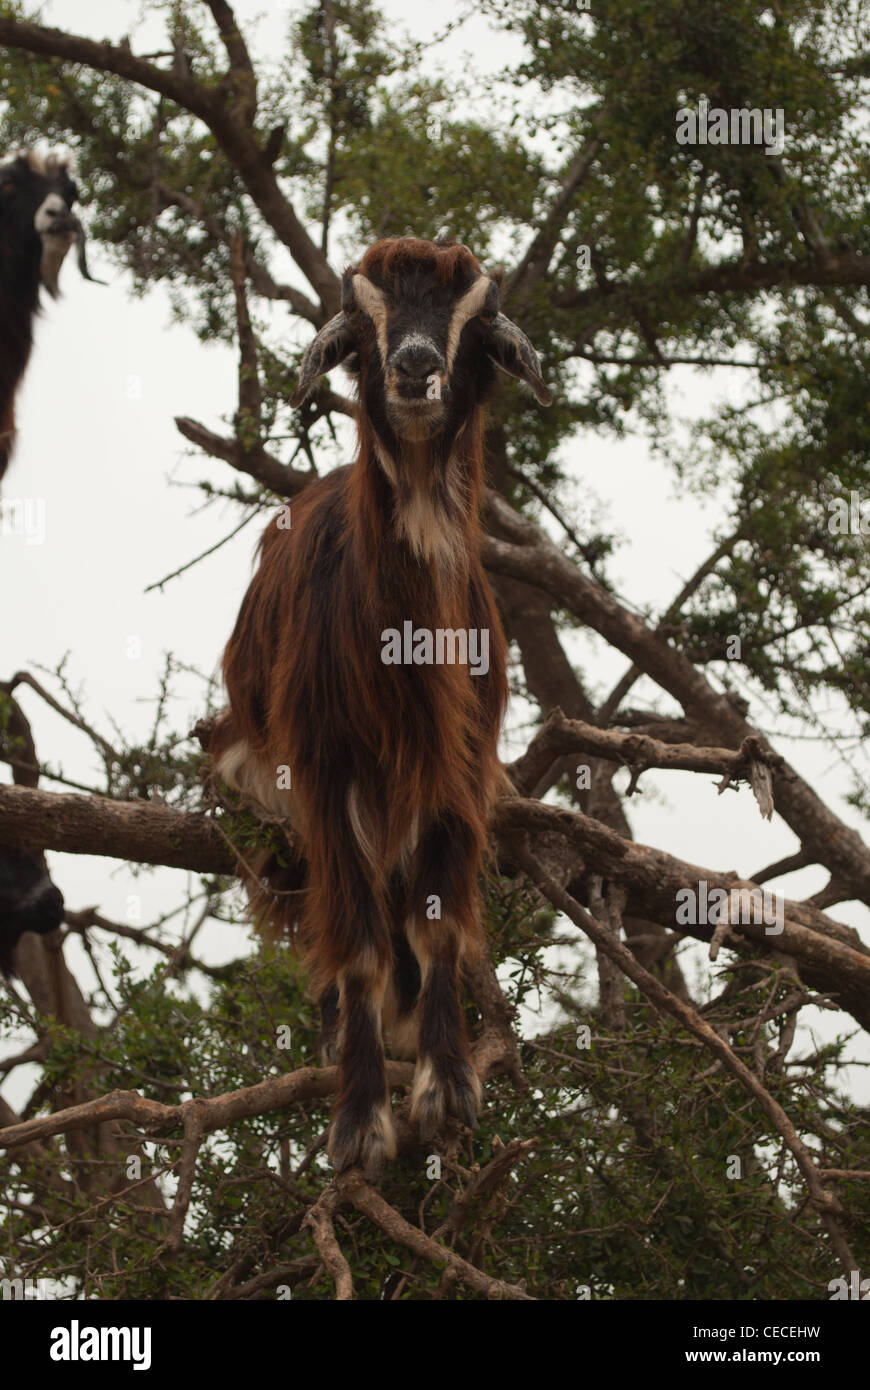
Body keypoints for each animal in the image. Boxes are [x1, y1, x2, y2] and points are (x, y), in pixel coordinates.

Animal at [212, 236, 551, 1175]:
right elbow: (358, 944)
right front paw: (361, 1121)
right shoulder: (325, 775)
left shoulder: (459, 770)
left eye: (475, 325)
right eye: (363, 330)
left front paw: (450, 1086)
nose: (414, 368)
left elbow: (438, 927)